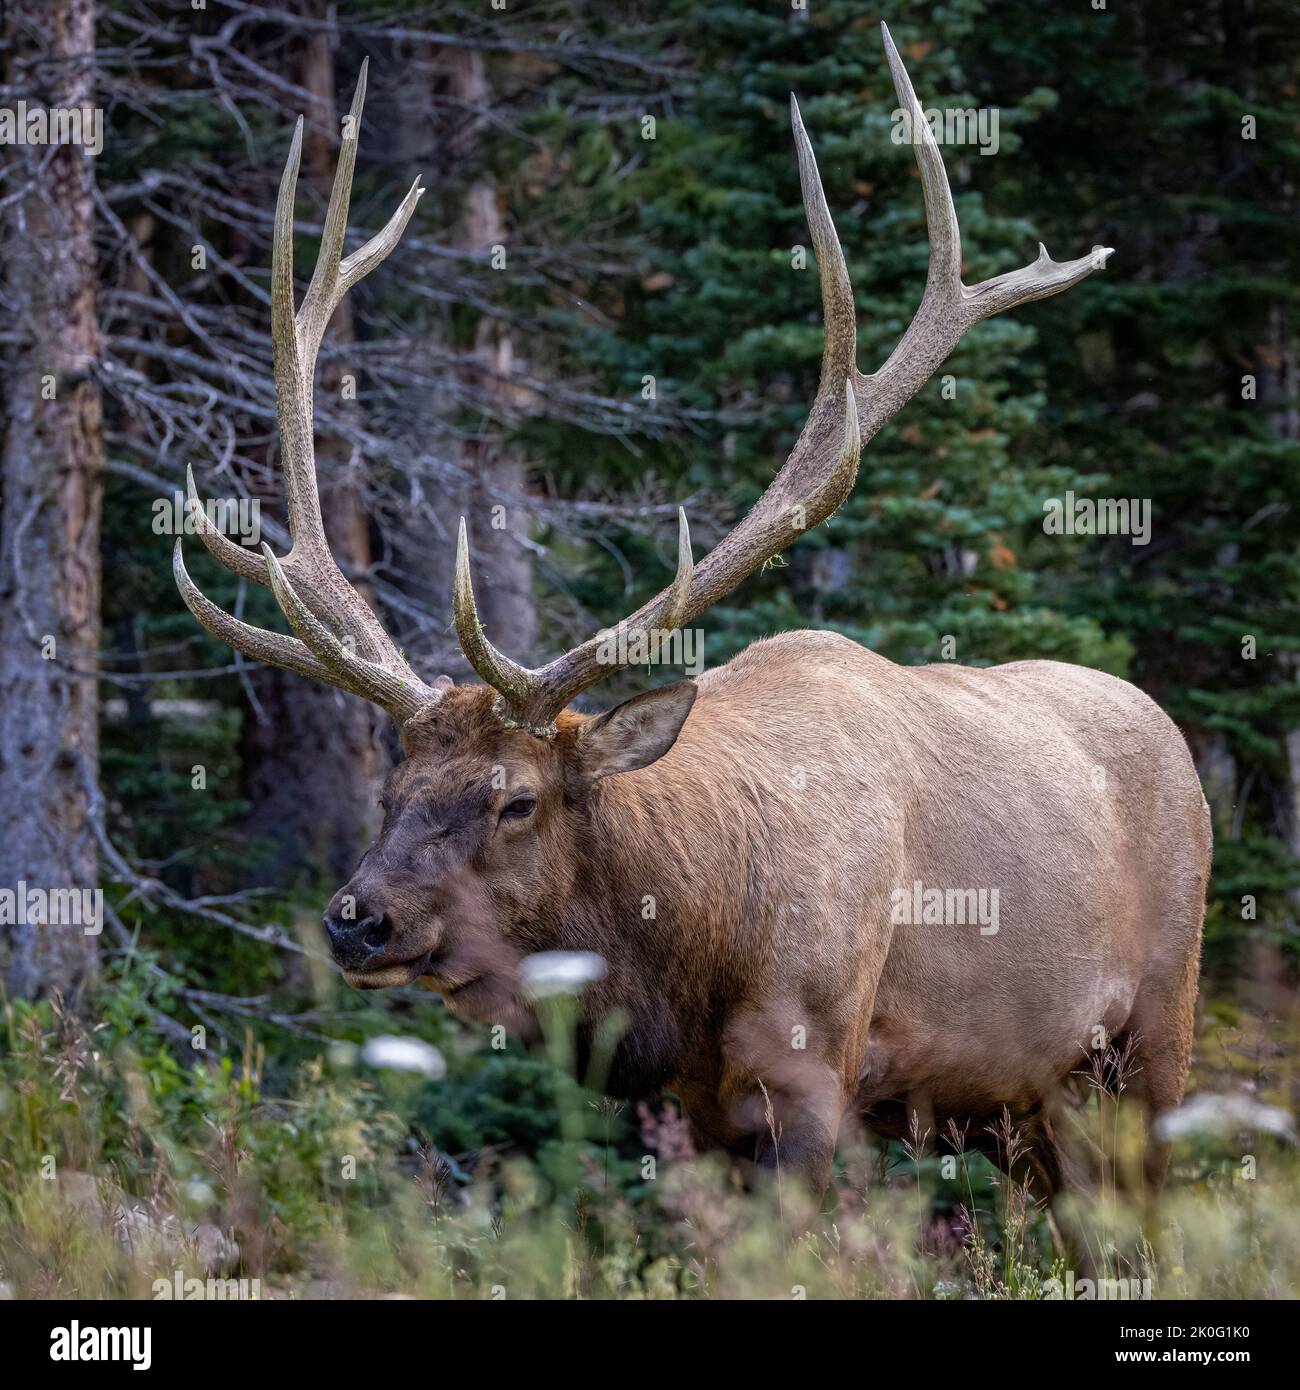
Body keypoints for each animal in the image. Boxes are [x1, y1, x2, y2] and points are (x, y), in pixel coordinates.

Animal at [175, 25, 1210, 1206]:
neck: (693, 964)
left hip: (1155, 1033)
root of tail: (1176, 741)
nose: (357, 918)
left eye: (515, 800)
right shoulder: (696, 1114)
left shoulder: (815, 1072)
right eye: (392, 790)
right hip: (1027, 1107)